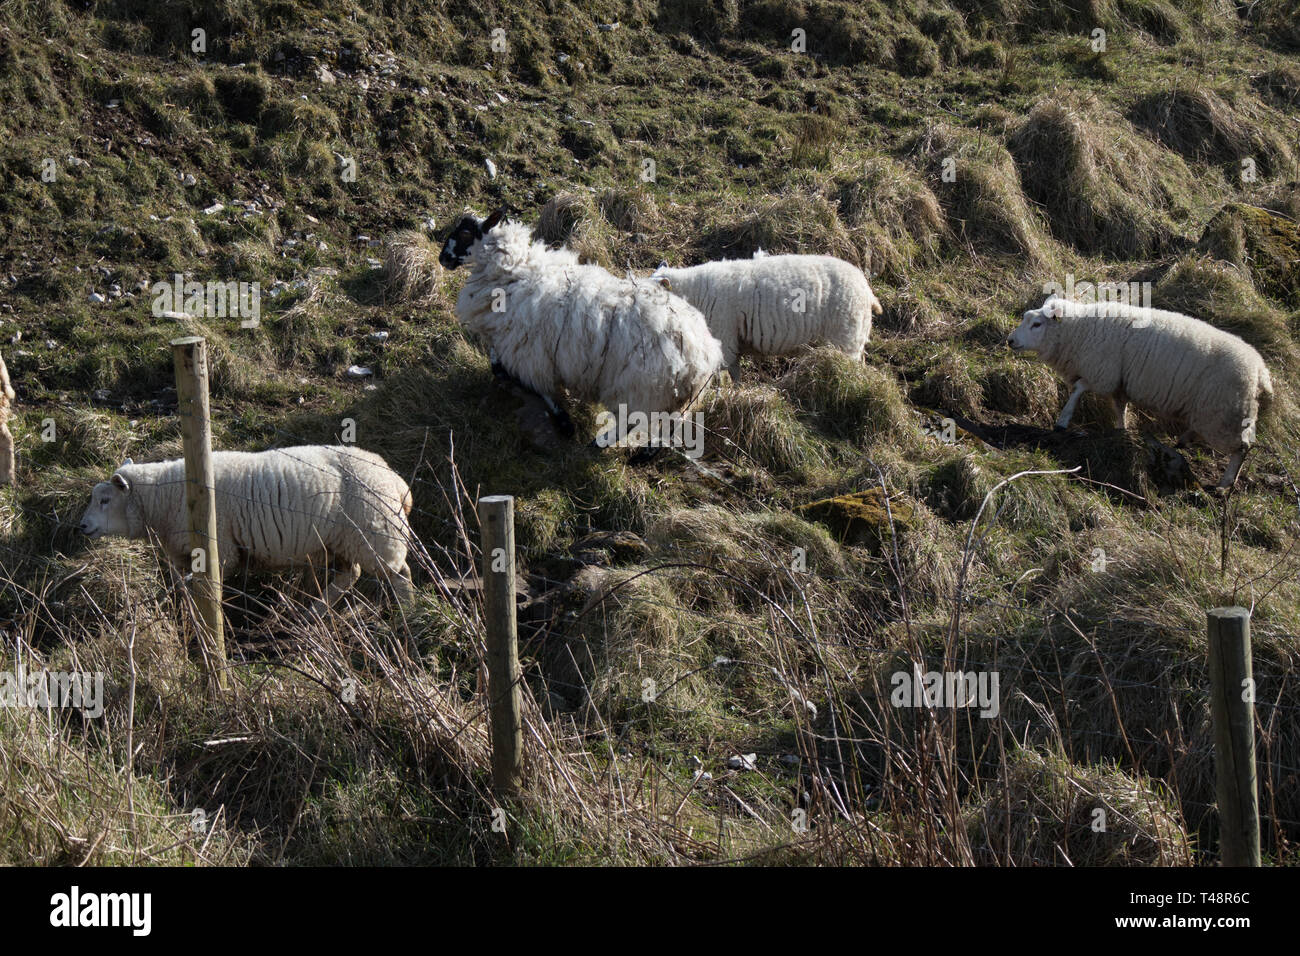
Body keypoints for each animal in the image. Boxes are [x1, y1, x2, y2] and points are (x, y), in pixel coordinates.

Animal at [78, 445, 414, 607]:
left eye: (105, 500)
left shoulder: (219, 552)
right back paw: (315, 613)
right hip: (342, 541)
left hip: (376, 536)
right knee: (350, 575)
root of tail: (396, 481)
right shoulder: (180, 554)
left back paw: (407, 614)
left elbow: (208, 591)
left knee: (401, 575)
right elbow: (184, 590)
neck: (165, 498)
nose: (82, 526)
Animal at [439, 210, 724, 453]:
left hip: (639, 387)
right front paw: (501, 372)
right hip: (667, 397)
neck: (514, 271)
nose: (443, 258)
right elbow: (495, 353)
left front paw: (564, 422)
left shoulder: (531, 350)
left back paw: (599, 443)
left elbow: (543, 387)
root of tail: (704, 356)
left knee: (630, 422)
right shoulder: (516, 339)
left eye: (465, 234)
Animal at [1006, 294, 1274, 488]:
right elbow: (1120, 407)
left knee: (1242, 448)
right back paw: (1185, 440)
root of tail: (1261, 372)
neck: (1080, 331)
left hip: (1225, 414)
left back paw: (1224, 484)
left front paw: (1062, 421)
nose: (1009, 340)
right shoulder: (1118, 383)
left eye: (1037, 324)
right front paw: (1121, 429)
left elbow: (1078, 389)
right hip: (1218, 412)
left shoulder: (1103, 372)